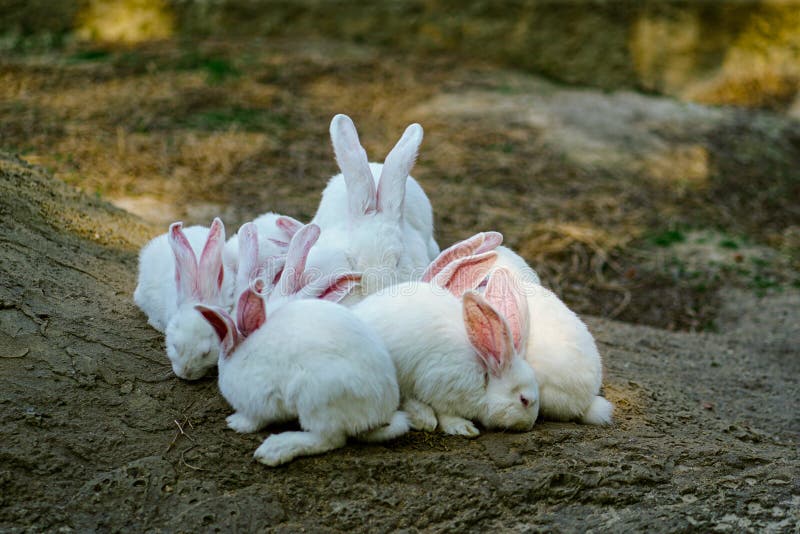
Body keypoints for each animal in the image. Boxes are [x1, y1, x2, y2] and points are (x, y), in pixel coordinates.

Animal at [196, 224, 408, 466]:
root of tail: (382, 410)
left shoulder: (259, 400)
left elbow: (255, 419)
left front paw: (236, 423)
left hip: (317, 401)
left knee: (330, 439)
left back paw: (274, 450)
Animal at [352, 255, 539, 437]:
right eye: (524, 400)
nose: (529, 425)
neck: (484, 371)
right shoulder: (439, 386)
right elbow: (444, 412)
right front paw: (463, 427)